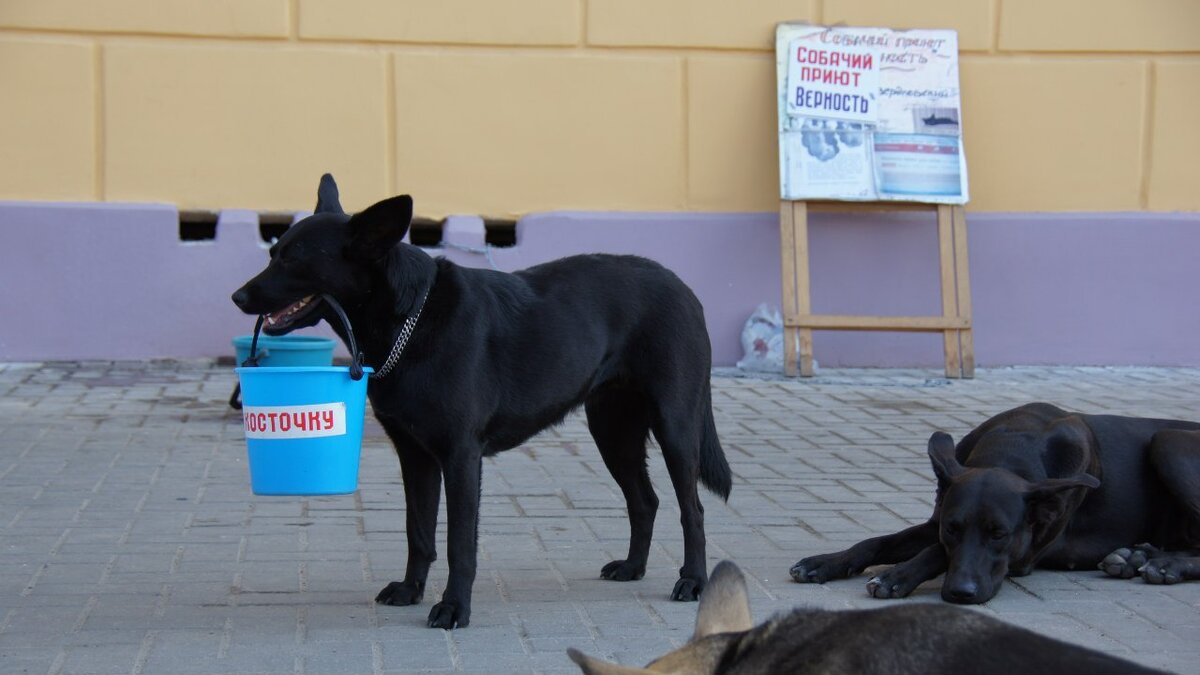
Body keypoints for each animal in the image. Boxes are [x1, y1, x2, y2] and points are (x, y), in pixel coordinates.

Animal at [232, 172, 729, 624]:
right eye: (273, 253)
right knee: (645, 501)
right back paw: (633, 567)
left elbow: (458, 543)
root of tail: (684, 288)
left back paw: (693, 580)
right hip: (612, 432)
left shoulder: (460, 457)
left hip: (675, 427)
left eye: (293, 260)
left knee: (693, 509)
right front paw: (411, 590)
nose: (237, 296)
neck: (411, 318)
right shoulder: (415, 457)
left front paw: (454, 606)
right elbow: (418, 531)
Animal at [787, 401, 1200, 600]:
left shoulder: (1027, 551)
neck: (1015, 445)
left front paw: (897, 576)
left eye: (1000, 534)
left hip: (1169, 442)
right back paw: (1137, 556)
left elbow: (935, 553)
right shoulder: (936, 521)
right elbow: (878, 542)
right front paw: (827, 562)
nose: (961, 594)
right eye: (953, 528)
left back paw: (1164, 565)